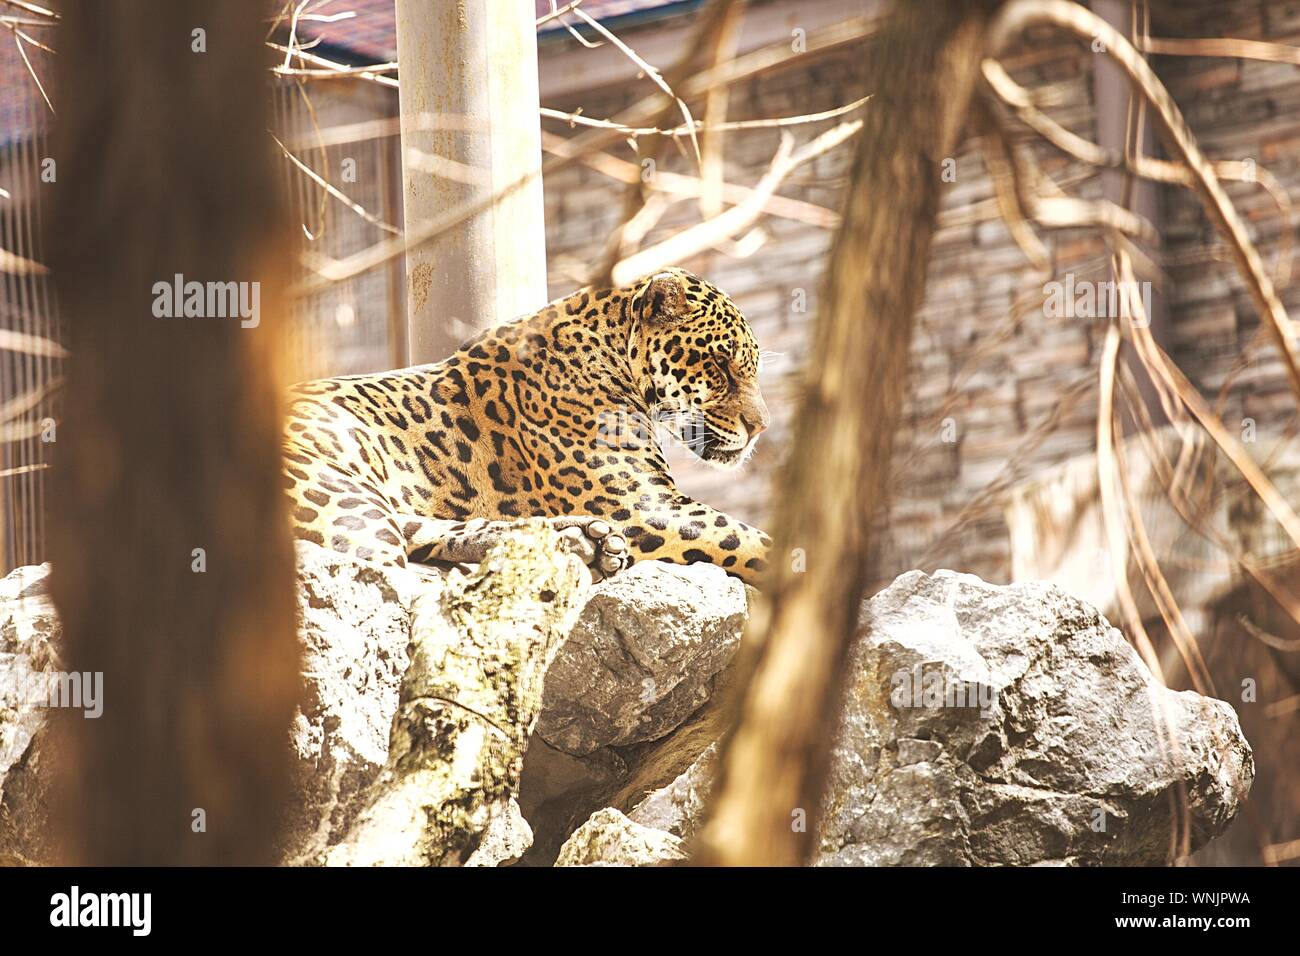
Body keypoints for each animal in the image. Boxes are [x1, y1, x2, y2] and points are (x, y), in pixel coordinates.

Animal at [281, 268, 773, 585]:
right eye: (720, 363)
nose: (761, 428)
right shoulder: (642, 507)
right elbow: (753, 541)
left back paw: (578, 541)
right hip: (346, 504)